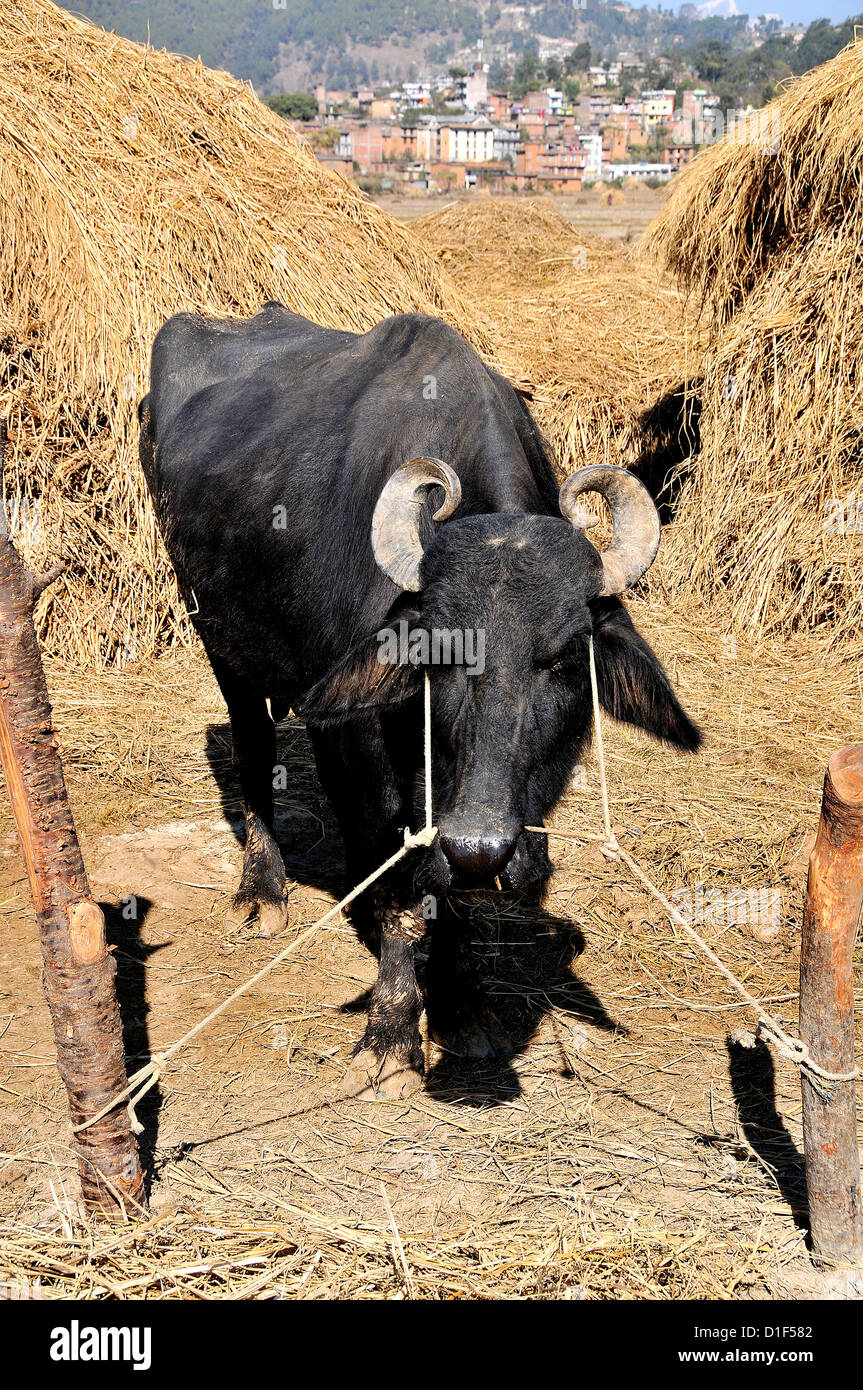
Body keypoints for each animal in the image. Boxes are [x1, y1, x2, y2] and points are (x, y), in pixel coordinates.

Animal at [139, 302, 701, 1100]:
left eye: (564, 657)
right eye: (436, 652)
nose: (481, 846)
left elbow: (450, 890)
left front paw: (462, 1009)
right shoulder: (366, 748)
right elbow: (408, 888)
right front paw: (391, 1037)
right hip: (215, 634)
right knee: (253, 747)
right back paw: (263, 891)